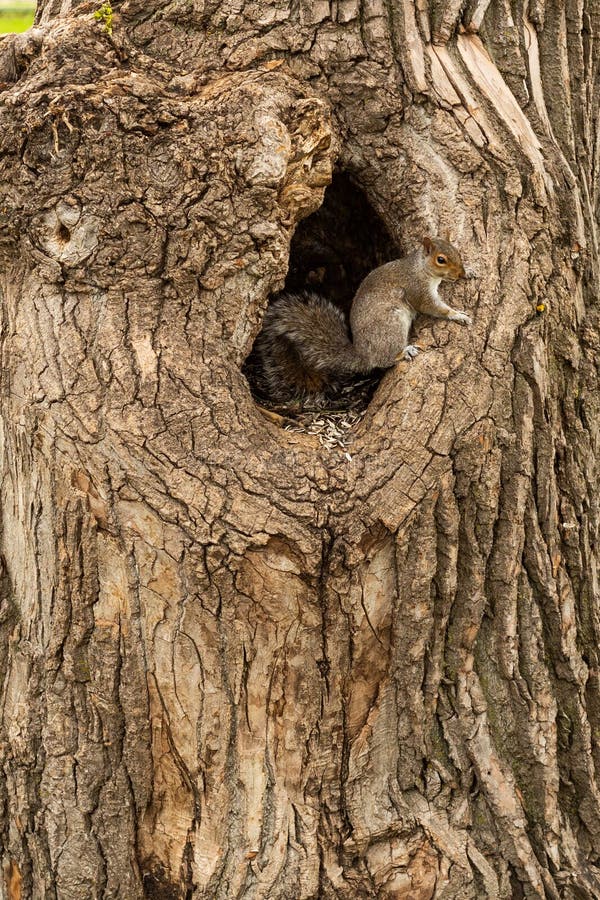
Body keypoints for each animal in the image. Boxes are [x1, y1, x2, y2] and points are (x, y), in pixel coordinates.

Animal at [248, 236, 472, 405]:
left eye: (457, 252)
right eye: (441, 260)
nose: (459, 272)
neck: (421, 268)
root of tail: (362, 354)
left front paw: (468, 271)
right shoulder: (417, 289)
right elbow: (432, 307)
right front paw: (457, 315)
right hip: (391, 324)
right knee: (383, 361)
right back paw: (403, 352)